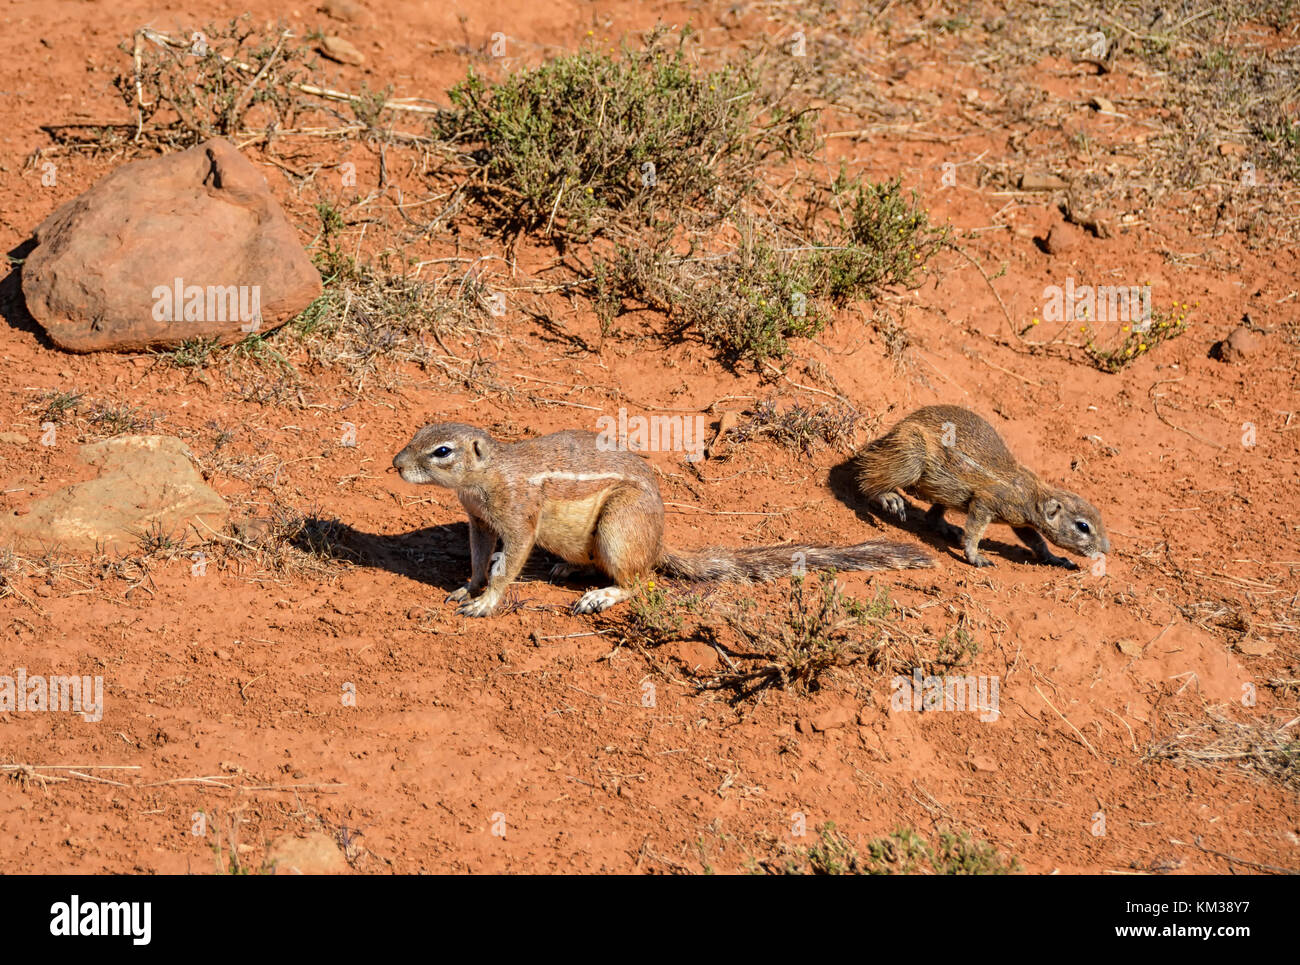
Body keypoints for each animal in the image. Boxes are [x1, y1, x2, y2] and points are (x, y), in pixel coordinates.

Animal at [392, 422, 934, 617]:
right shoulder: (479, 522)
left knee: (639, 582)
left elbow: (508, 563)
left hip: (618, 528)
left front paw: (487, 603)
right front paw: (467, 587)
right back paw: (568, 568)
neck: (487, 475)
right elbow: (479, 559)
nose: (395, 463)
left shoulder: (519, 518)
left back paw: (601, 595)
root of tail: (657, 543)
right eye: (418, 432)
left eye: (442, 452)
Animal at [854, 405, 1110, 569]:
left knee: (932, 515)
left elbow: (1037, 541)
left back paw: (946, 527)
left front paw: (1055, 558)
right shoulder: (986, 502)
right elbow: (976, 531)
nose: (1106, 549)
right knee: (868, 479)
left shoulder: (1020, 521)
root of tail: (897, 428)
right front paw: (975, 556)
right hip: (911, 455)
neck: (1033, 494)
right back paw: (887, 496)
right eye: (1083, 526)